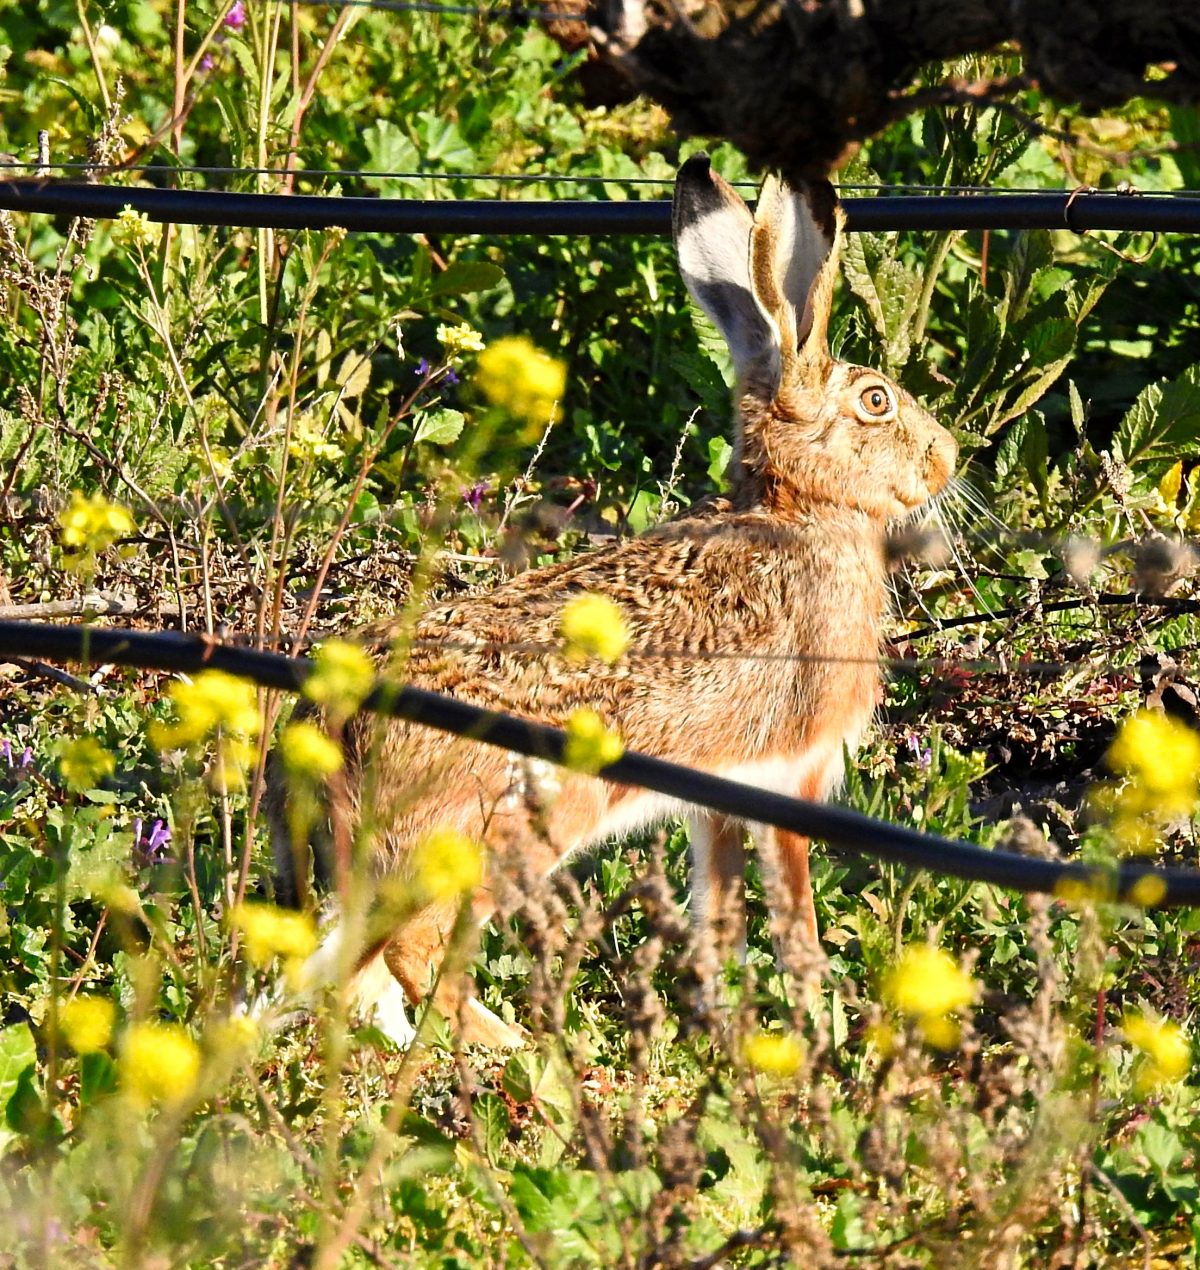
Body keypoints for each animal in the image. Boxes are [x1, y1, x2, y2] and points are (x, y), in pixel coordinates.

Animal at [270, 154, 958, 1049]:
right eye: (877, 401)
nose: (948, 456)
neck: (800, 510)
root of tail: (335, 717)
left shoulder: (718, 803)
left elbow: (720, 914)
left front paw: (721, 1022)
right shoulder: (792, 779)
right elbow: (794, 920)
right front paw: (811, 1026)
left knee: (359, 969)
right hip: (508, 828)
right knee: (415, 954)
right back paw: (517, 1048)